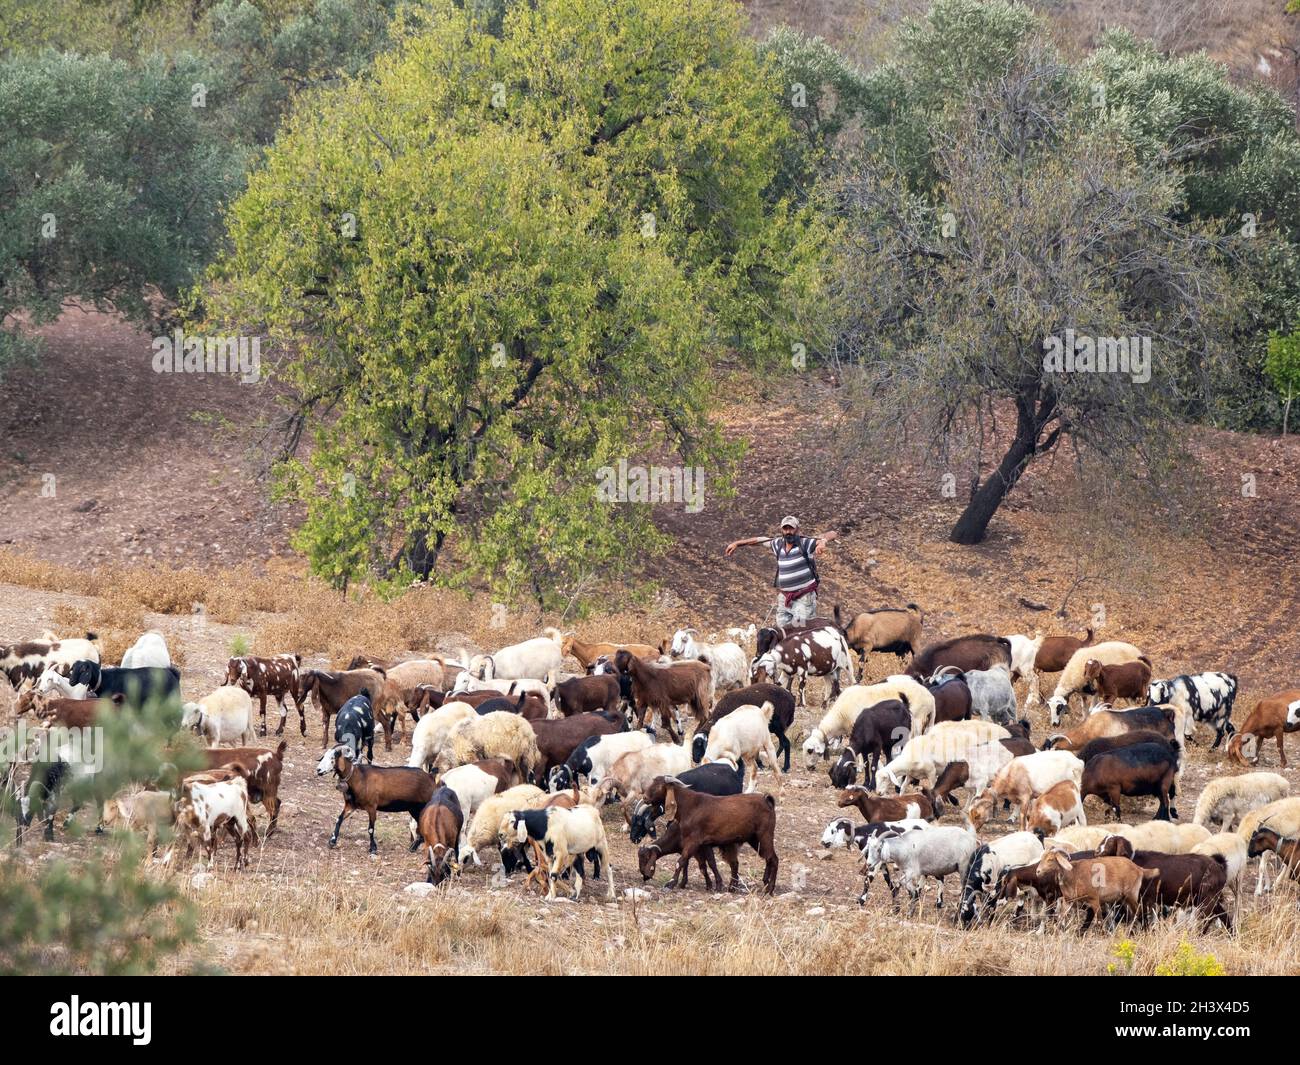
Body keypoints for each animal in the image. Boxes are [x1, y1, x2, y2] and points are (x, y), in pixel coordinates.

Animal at [804, 676, 937, 767]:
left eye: (810, 751)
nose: (808, 767)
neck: (840, 717)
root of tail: (930, 697)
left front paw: (859, 766)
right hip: (927, 721)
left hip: (917, 719)